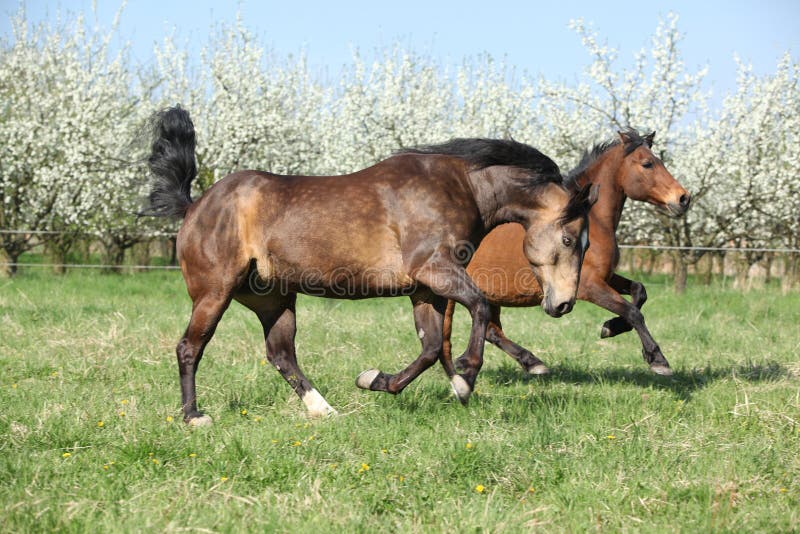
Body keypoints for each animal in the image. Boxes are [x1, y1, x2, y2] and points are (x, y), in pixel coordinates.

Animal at [142, 106, 596, 425]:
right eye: (569, 239)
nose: (563, 304)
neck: (461, 186)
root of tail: (194, 206)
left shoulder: (426, 289)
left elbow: (432, 347)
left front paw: (379, 380)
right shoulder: (435, 271)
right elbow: (479, 307)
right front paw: (466, 377)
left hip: (273, 300)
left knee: (281, 354)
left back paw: (324, 410)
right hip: (214, 293)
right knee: (190, 347)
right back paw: (194, 416)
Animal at [442, 130, 690, 377]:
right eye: (648, 164)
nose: (683, 198)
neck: (594, 221)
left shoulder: (606, 277)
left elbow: (640, 291)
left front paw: (610, 328)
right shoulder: (588, 285)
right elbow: (632, 311)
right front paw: (657, 360)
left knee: (492, 330)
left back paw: (521, 362)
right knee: (489, 329)